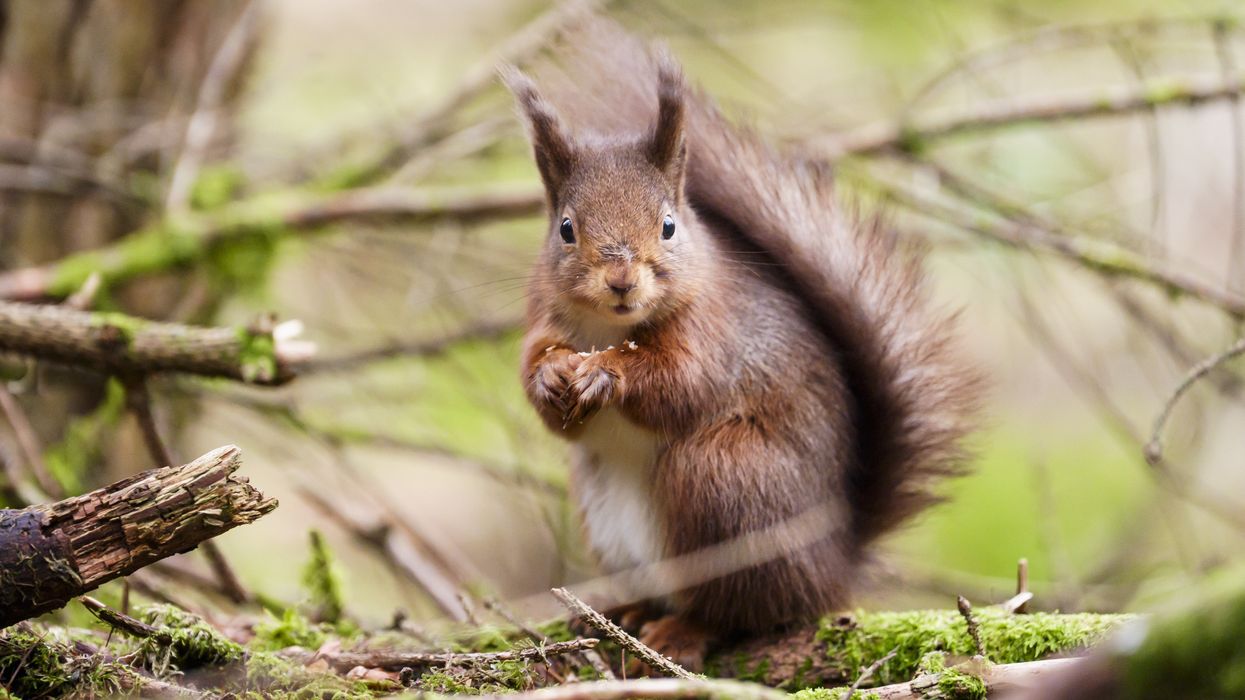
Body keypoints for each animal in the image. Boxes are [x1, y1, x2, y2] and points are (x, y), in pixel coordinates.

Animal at [503, 24, 979, 671]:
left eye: (669, 225)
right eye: (566, 229)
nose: (622, 281)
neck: (608, 327)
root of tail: (835, 562)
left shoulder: (713, 333)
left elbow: (680, 385)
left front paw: (608, 374)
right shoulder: (541, 320)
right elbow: (547, 395)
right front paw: (552, 375)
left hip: (725, 480)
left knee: (740, 609)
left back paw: (682, 630)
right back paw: (625, 612)